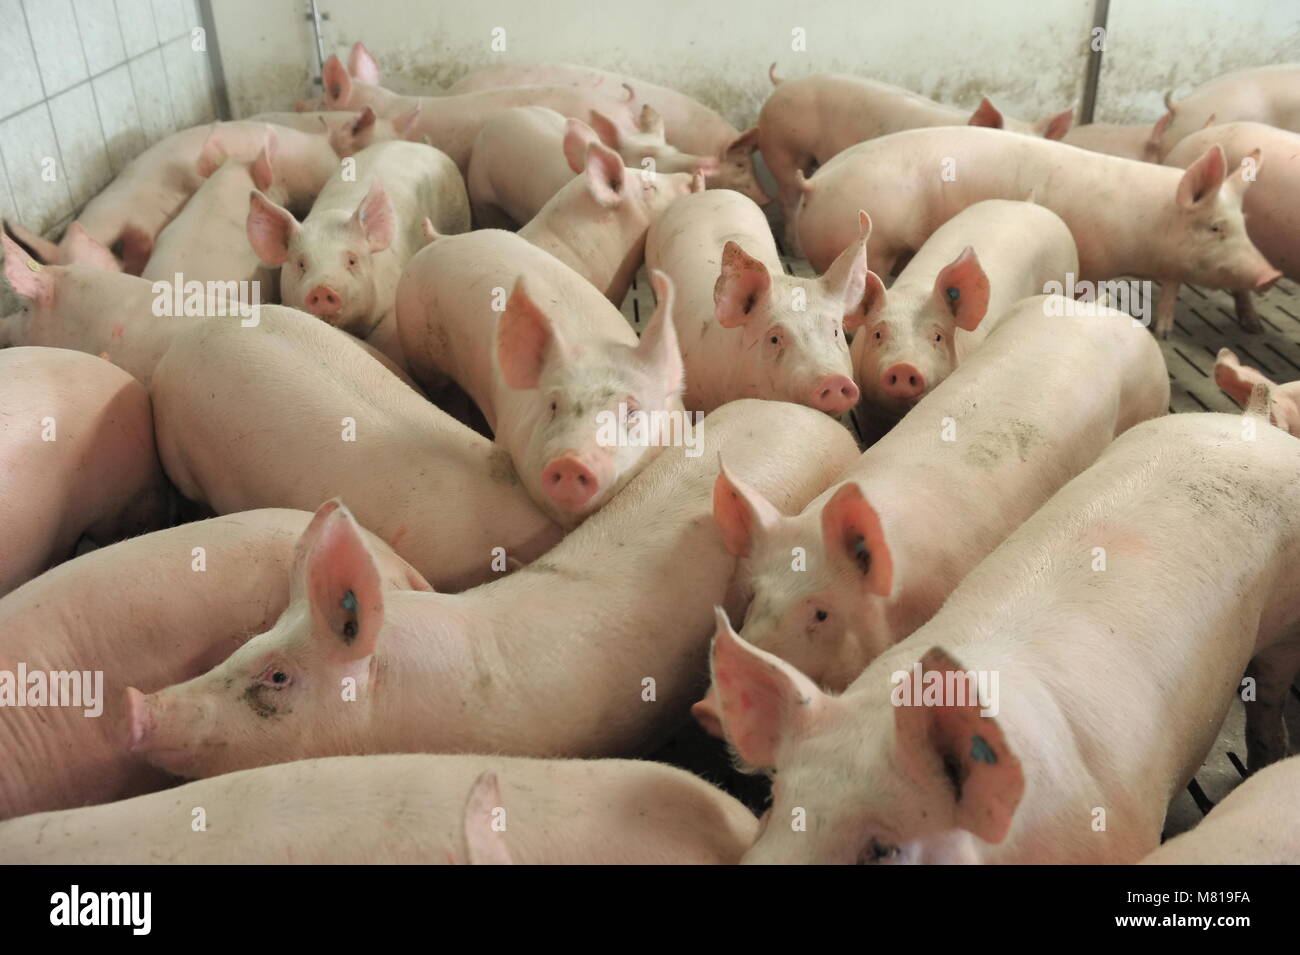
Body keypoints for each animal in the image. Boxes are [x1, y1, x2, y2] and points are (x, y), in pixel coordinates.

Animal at [795, 127, 1281, 335]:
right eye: (1215, 227)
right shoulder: (1091, 261)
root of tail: (813, 182)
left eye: (1243, 224)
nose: (1270, 275)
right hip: (874, 246)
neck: (1146, 224)